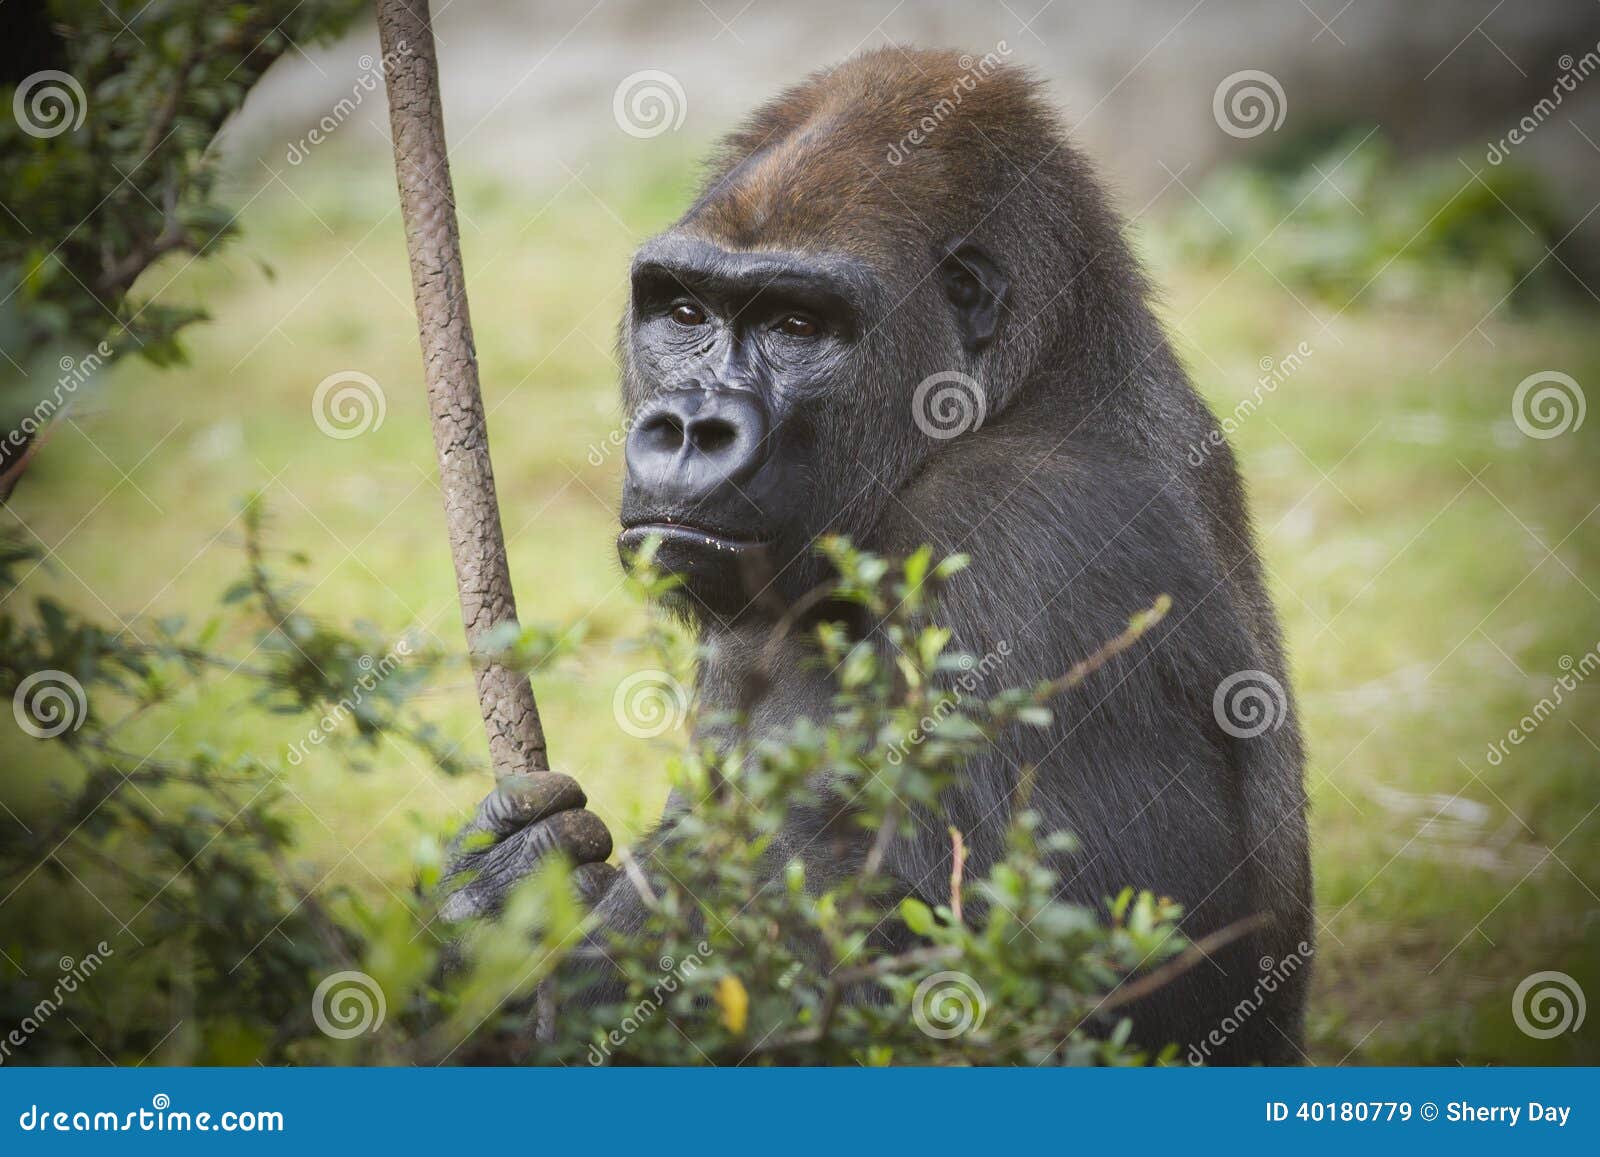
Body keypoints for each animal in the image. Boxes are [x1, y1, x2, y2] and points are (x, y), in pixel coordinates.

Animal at [440, 47, 1312, 1065]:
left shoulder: (1035, 532)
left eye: (797, 327)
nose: (689, 429)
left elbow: (1110, 987)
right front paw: (490, 888)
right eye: (685, 312)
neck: (1032, 381)